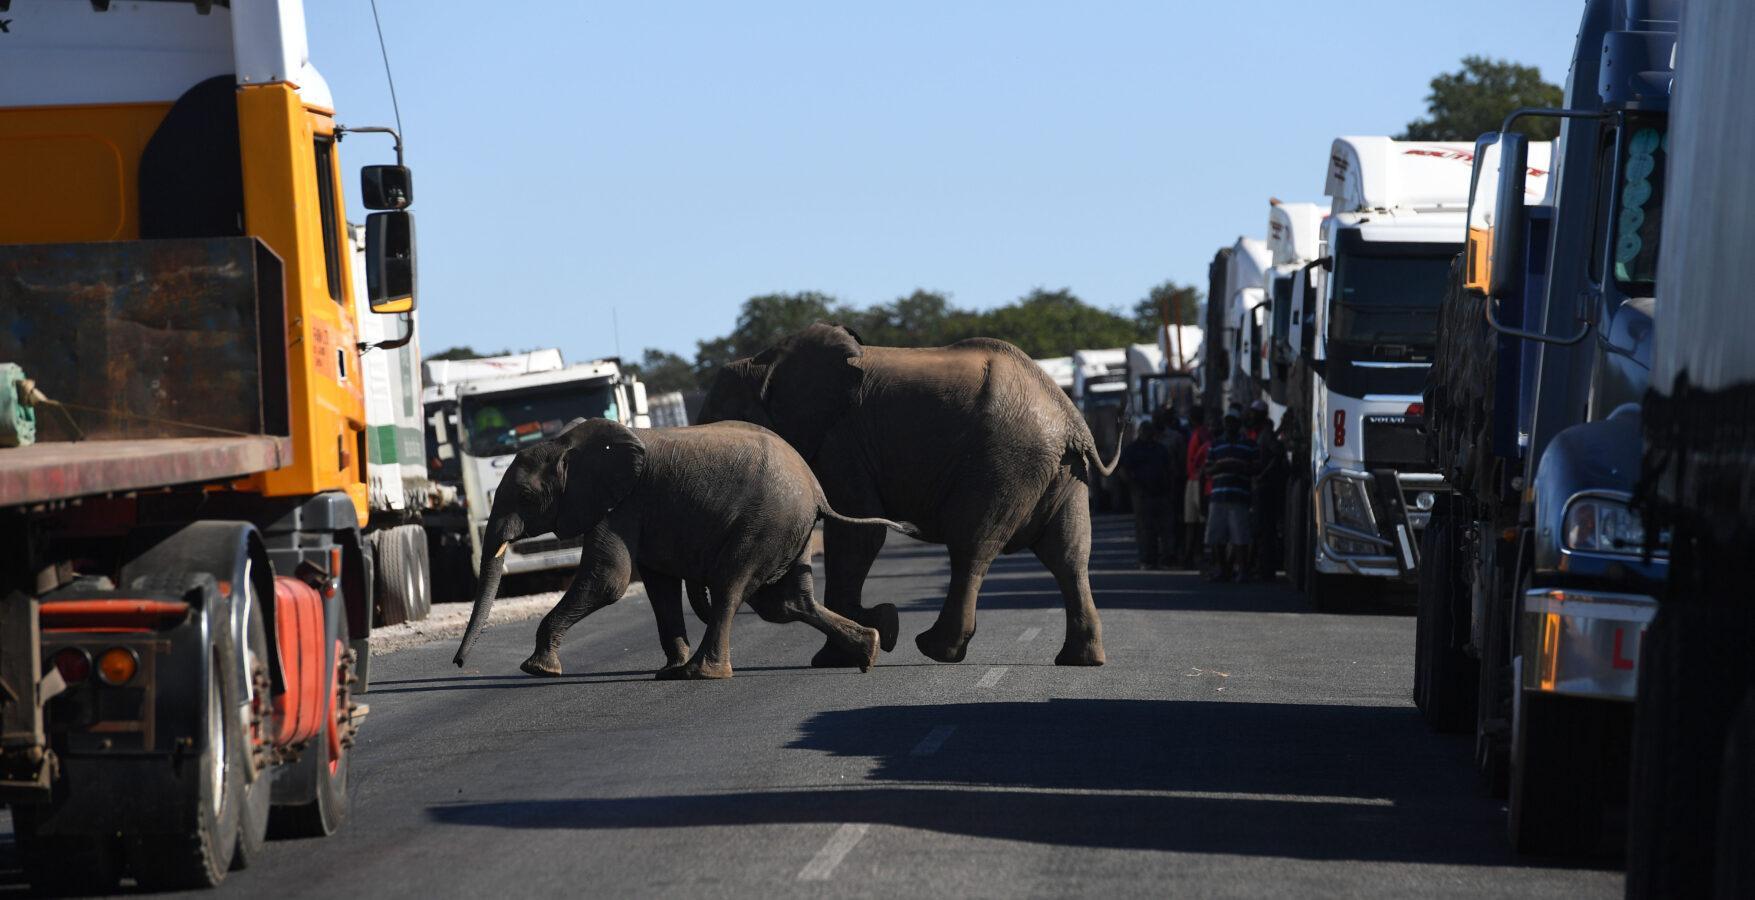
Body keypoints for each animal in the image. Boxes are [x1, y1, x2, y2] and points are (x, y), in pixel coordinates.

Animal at [450, 418, 917, 679]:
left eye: (527, 497)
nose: (457, 664)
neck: (567, 442)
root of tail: (818, 492)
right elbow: (657, 585)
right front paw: (667, 670)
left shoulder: (623, 503)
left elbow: (608, 581)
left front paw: (537, 669)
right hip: (791, 529)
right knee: (786, 603)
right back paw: (872, 648)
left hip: (766, 522)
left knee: (732, 587)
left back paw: (702, 675)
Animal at [695, 323, 1119, 668]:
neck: (763, 365)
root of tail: (1068, 416)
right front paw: (879, 626)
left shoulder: (841, 442)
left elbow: (856, 535)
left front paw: (852, 647)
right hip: (1061, 472)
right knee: (1068, 555)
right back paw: (1080, 659)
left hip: (1007, 461)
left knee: (971, 546)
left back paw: (935, 648)